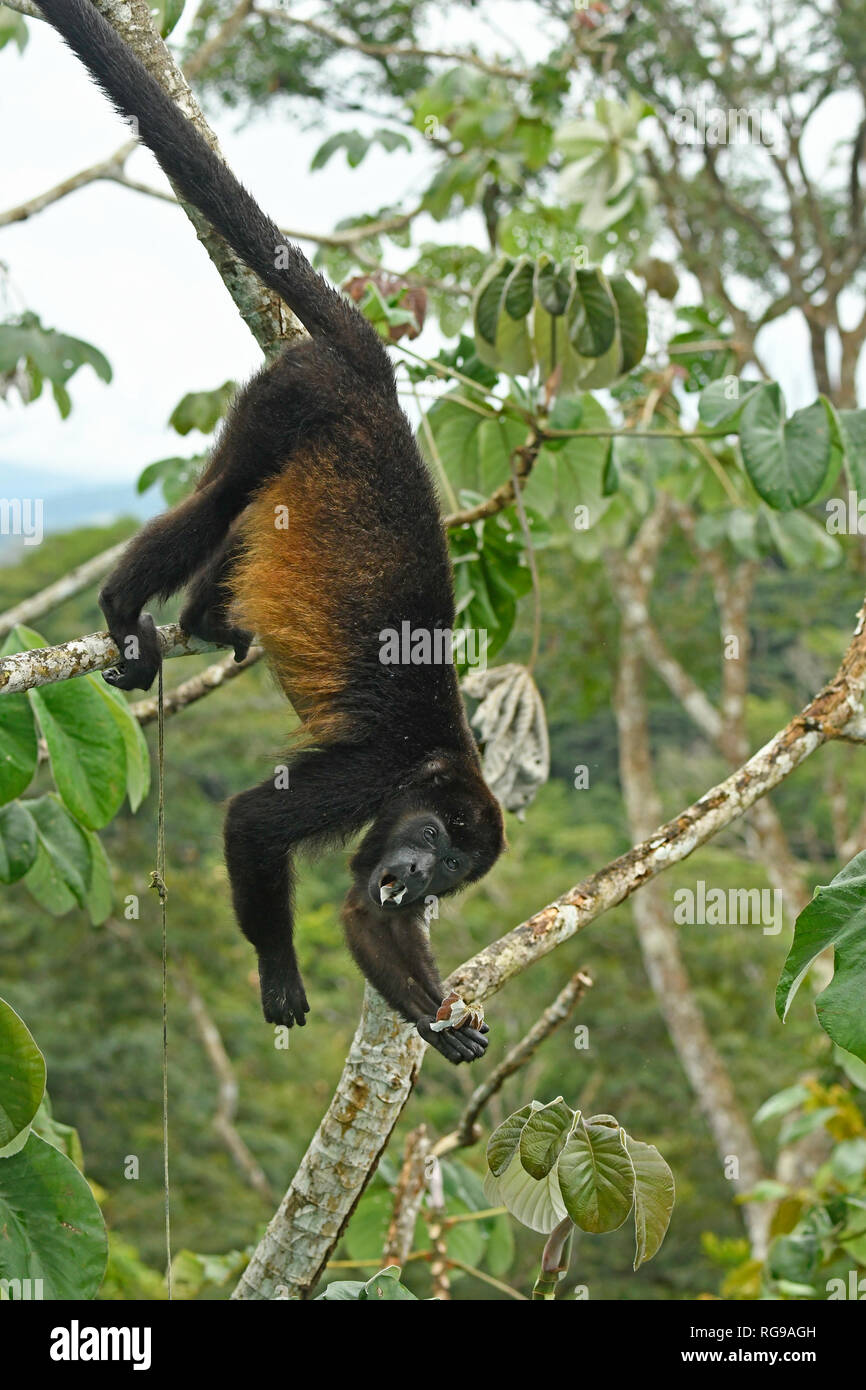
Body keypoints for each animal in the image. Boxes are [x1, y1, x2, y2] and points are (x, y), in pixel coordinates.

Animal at [34, 0, 505, 1064]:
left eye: (455, 876)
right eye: (439, 842)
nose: (420, 882)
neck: (436, 765)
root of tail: (375, 377)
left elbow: (360, 909)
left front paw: (435, 1018)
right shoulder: (376, 772)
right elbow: (254, 821)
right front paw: (283, 973)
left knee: (250, 525)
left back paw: (213, 619)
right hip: (290, 398)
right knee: (220, 499)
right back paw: (126, 610)